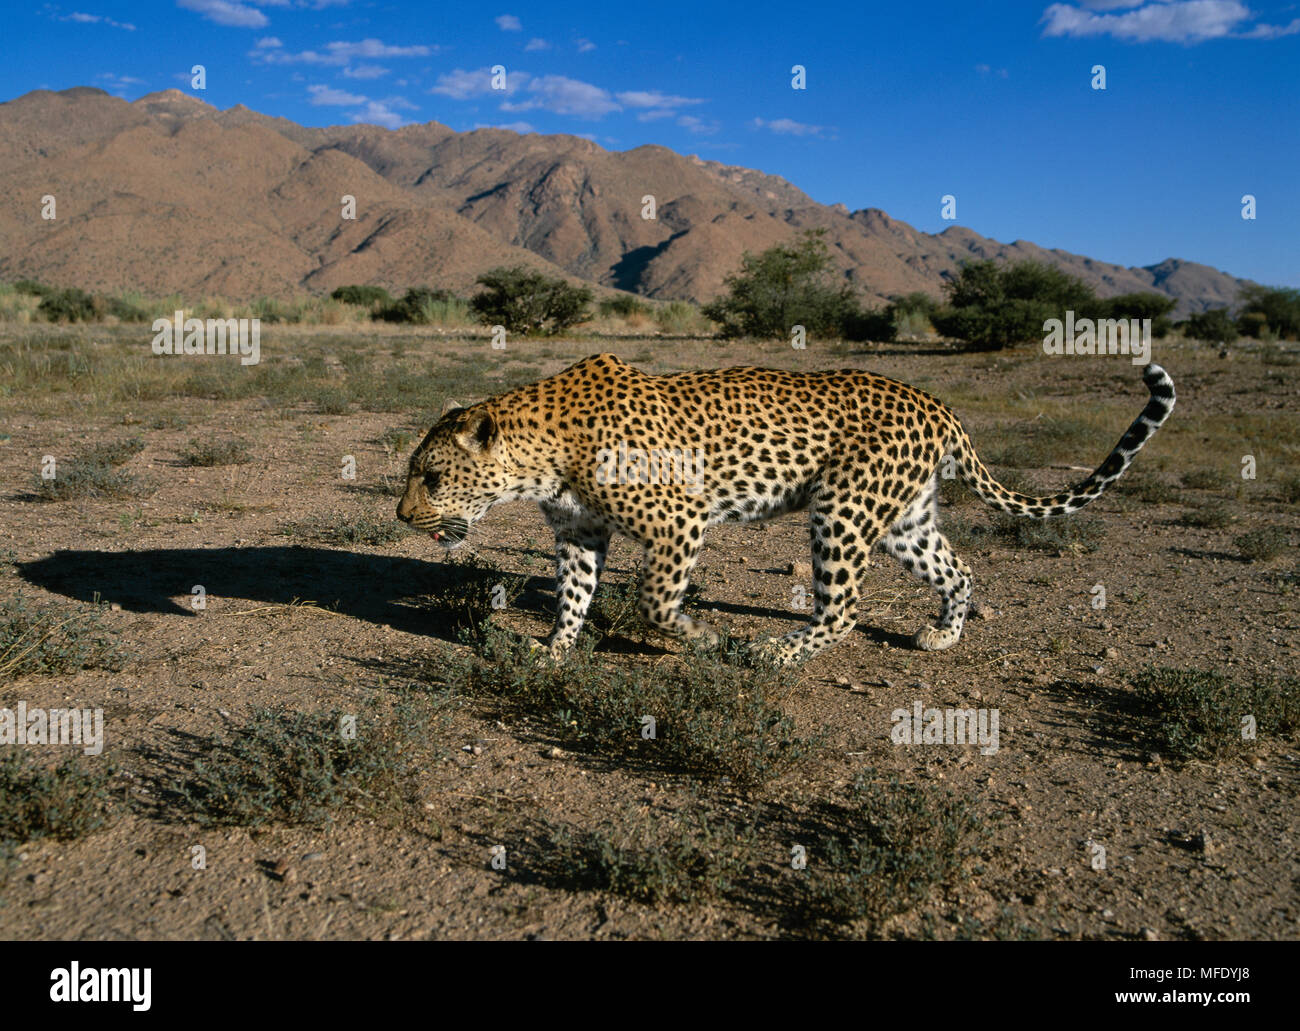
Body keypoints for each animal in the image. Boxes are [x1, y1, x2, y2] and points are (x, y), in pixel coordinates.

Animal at [397, 353, 1175, 665]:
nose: (404, 517)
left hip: (843, 510)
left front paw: (700, 637)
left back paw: (774, 653)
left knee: (845, 608)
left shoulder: (681, 520)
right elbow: (573, 597)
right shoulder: (581, 532)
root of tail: (939, 405)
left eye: (431, 477)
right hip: (903, 520)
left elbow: (654, 600)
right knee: (959, 569)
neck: (541, 458)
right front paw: (553, 652)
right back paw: (943, 635)